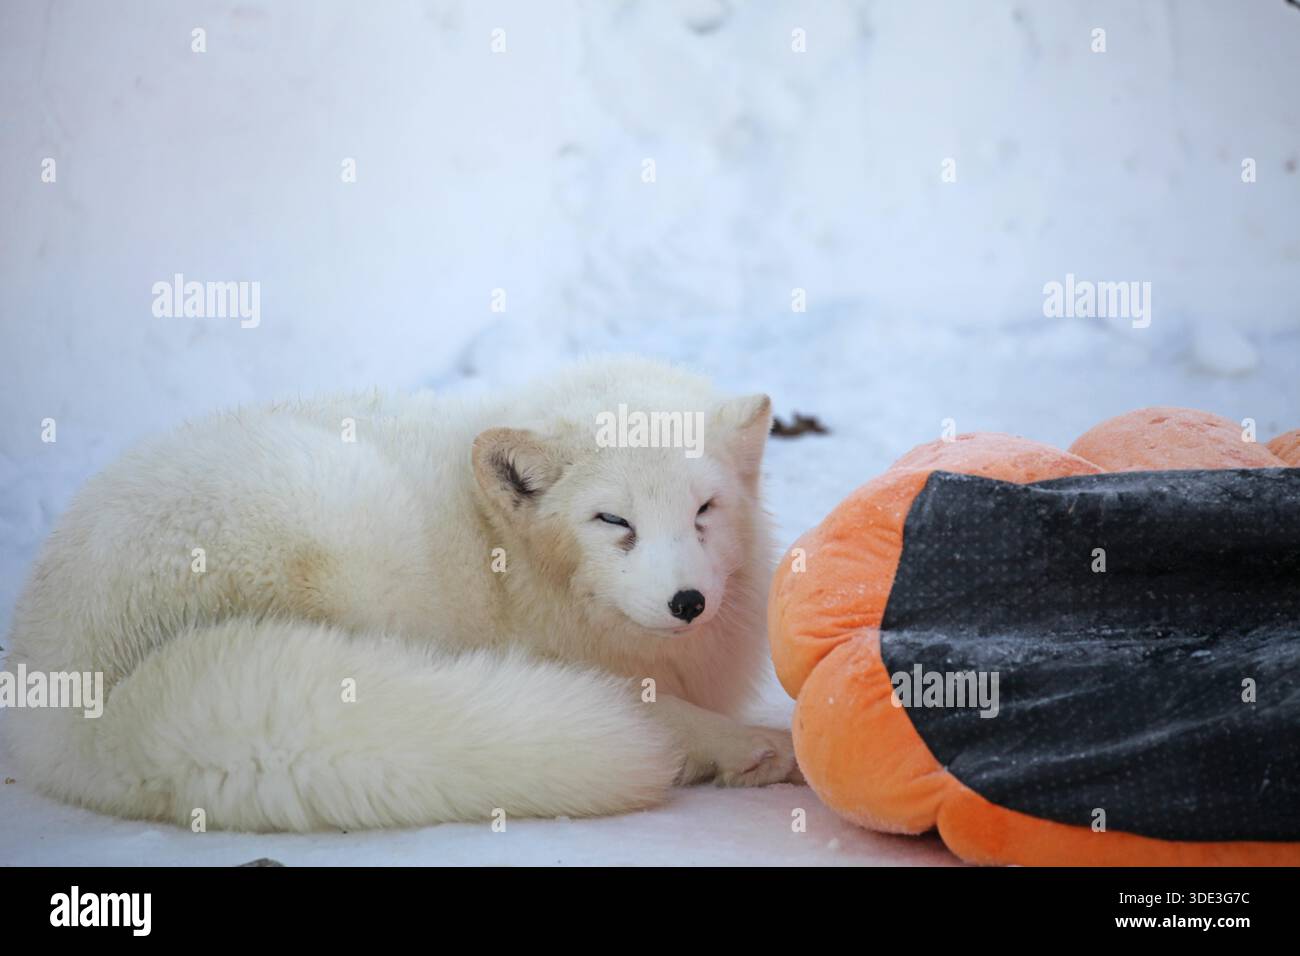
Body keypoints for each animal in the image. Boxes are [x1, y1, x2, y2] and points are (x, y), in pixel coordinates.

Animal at [3, 357, 798, 832]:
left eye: (704, 510)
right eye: (614, 521)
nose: (689, 602)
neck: (504, 559)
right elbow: (674, 715)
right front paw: (761, 747)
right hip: (337, 516)